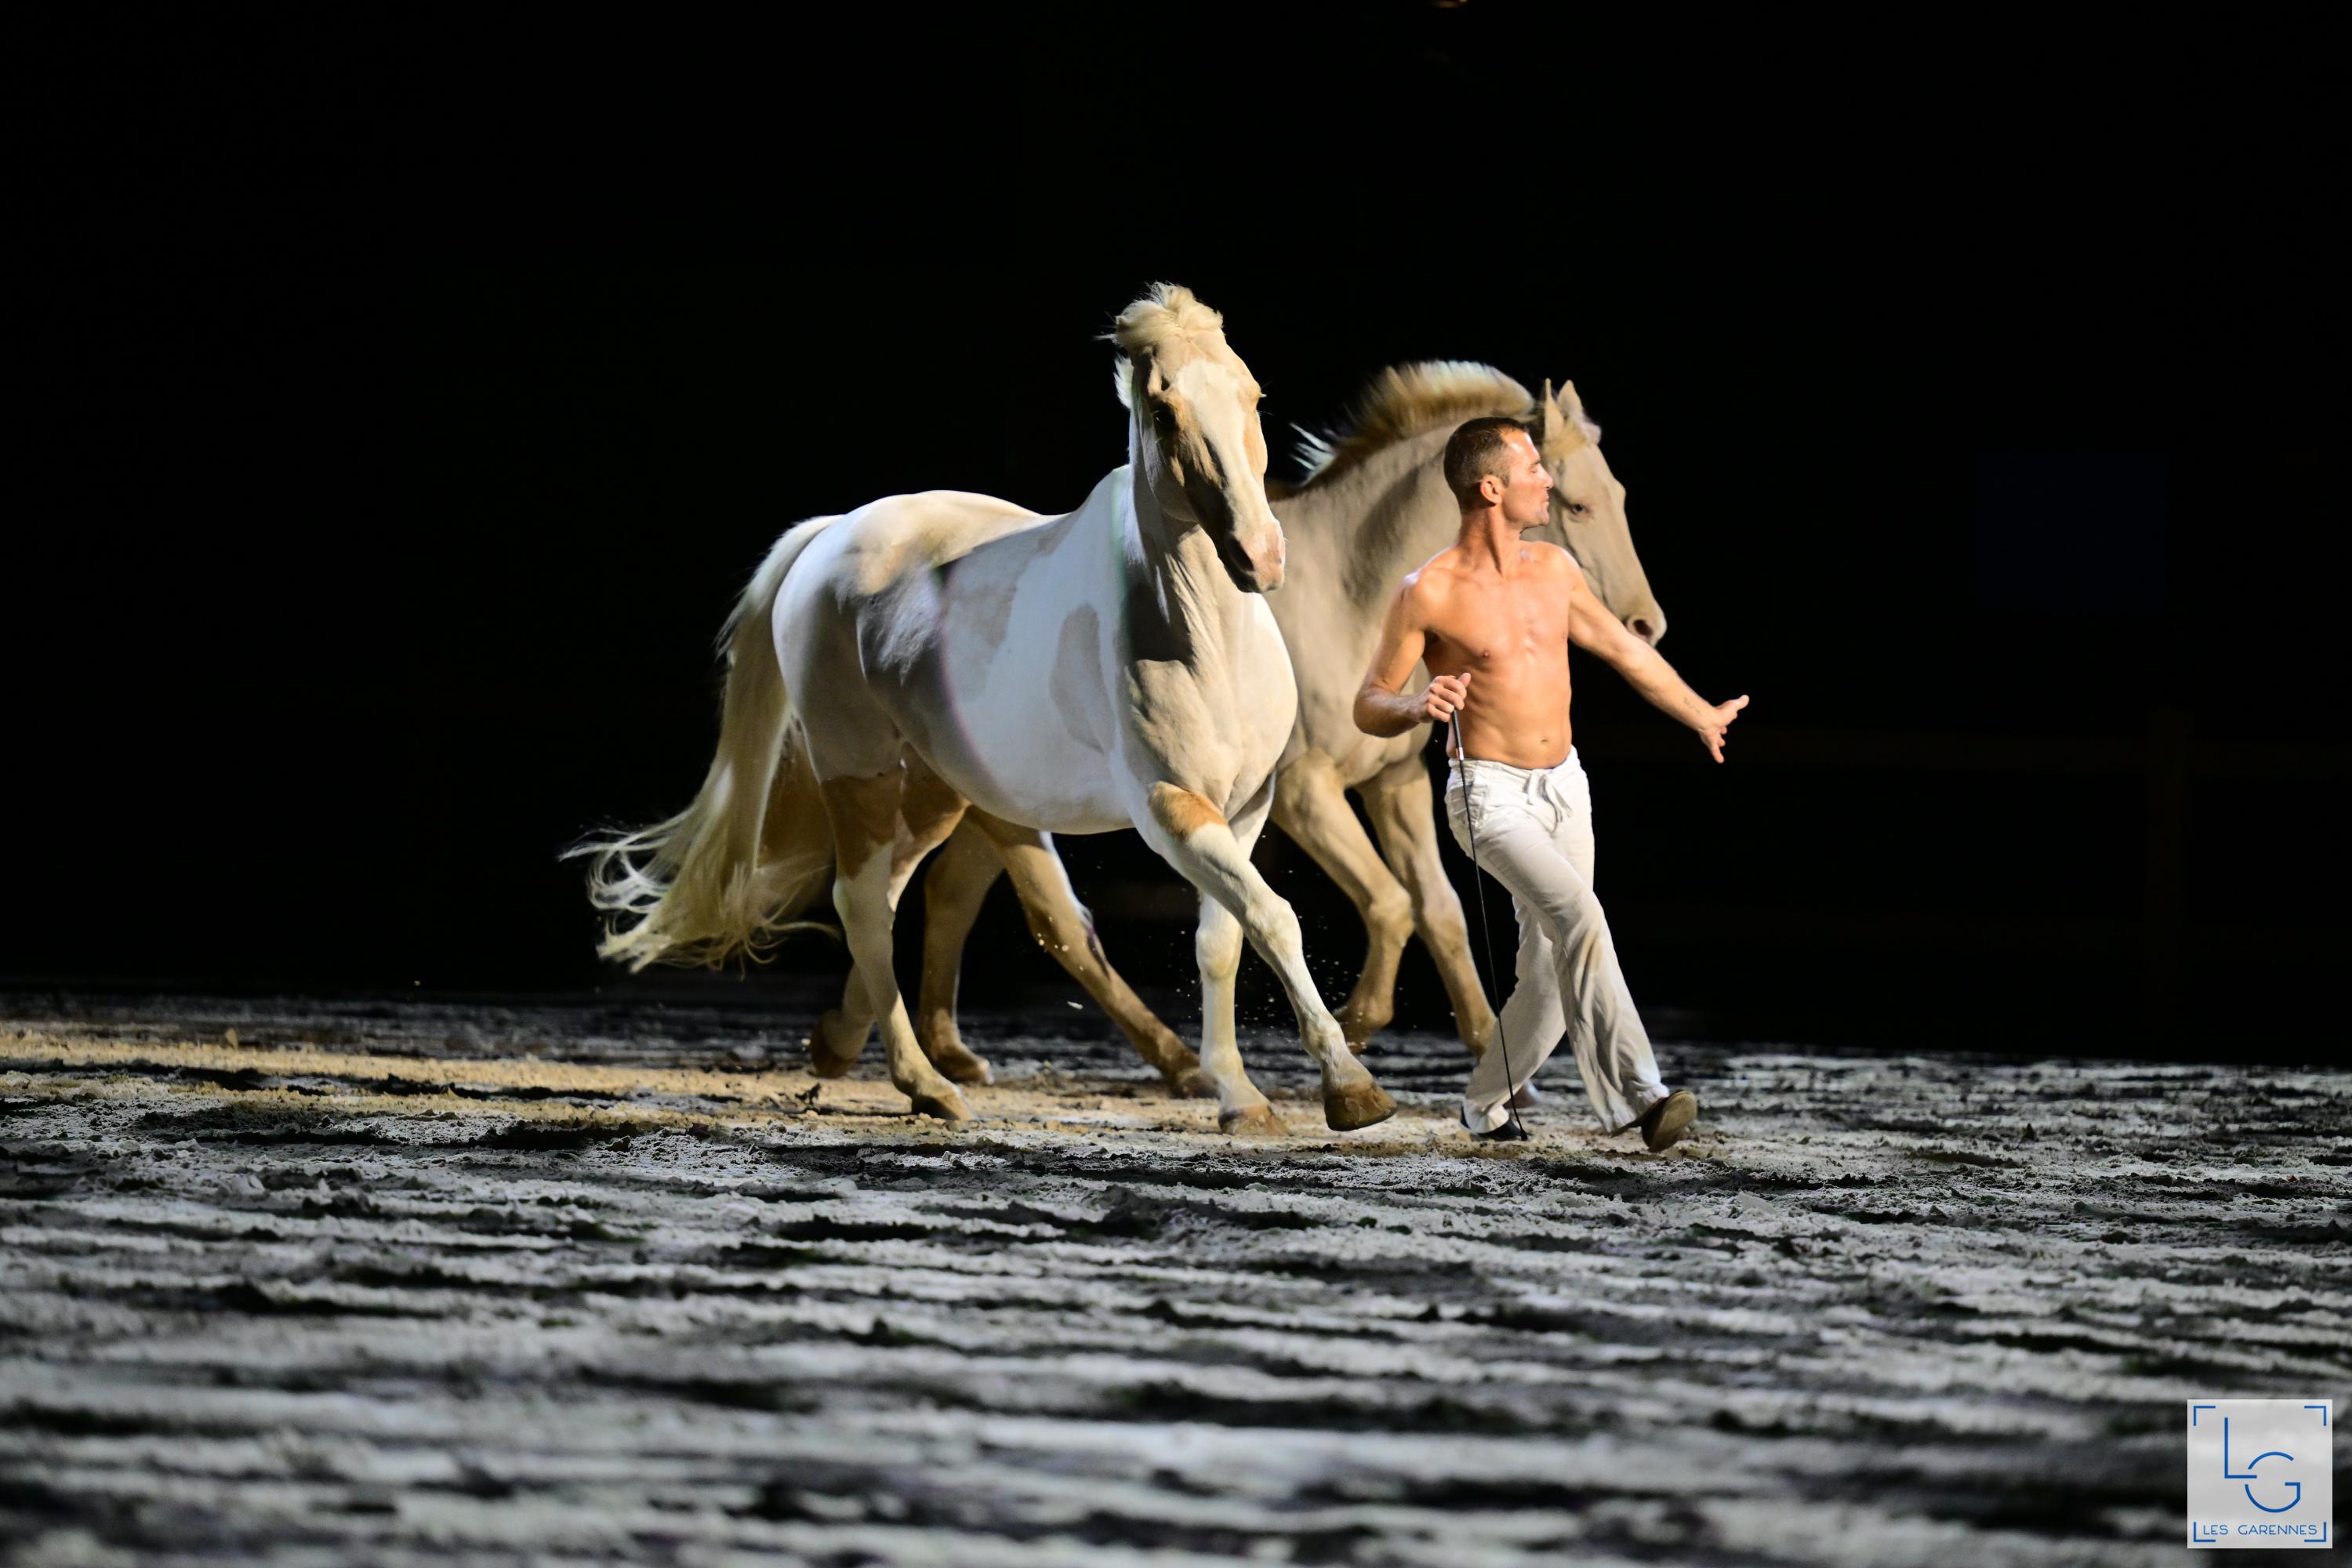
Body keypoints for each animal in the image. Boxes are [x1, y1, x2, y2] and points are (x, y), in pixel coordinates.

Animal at [569, 285, 1395, 1135]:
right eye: (1164, 413)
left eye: (1253, 396)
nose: (1261, 555)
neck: (1202, 640)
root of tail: (832, 533)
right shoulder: (1171, 809)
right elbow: (1273, 916)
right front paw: (1351, 1089)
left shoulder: (1246, 806)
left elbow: (1223, 937)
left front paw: (1241, 1095)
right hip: (857, 767)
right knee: (861, 902)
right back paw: (926, 1084)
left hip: (937, 791)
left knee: (886, 894)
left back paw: (843, 1043)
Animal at [906, 364, 1666, 1079]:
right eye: (1575, 504)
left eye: (1622, 496)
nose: (1646, 626)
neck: (1348, 594)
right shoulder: (1305, 793)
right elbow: (1391, 904)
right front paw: (1352, 1031)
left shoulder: (1394, 784)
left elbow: (1440, 909)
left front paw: (1498, 1063)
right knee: (1051, 919)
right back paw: (1172, 1063)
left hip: (998, 804)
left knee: (955, 897)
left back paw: (951, 1055)